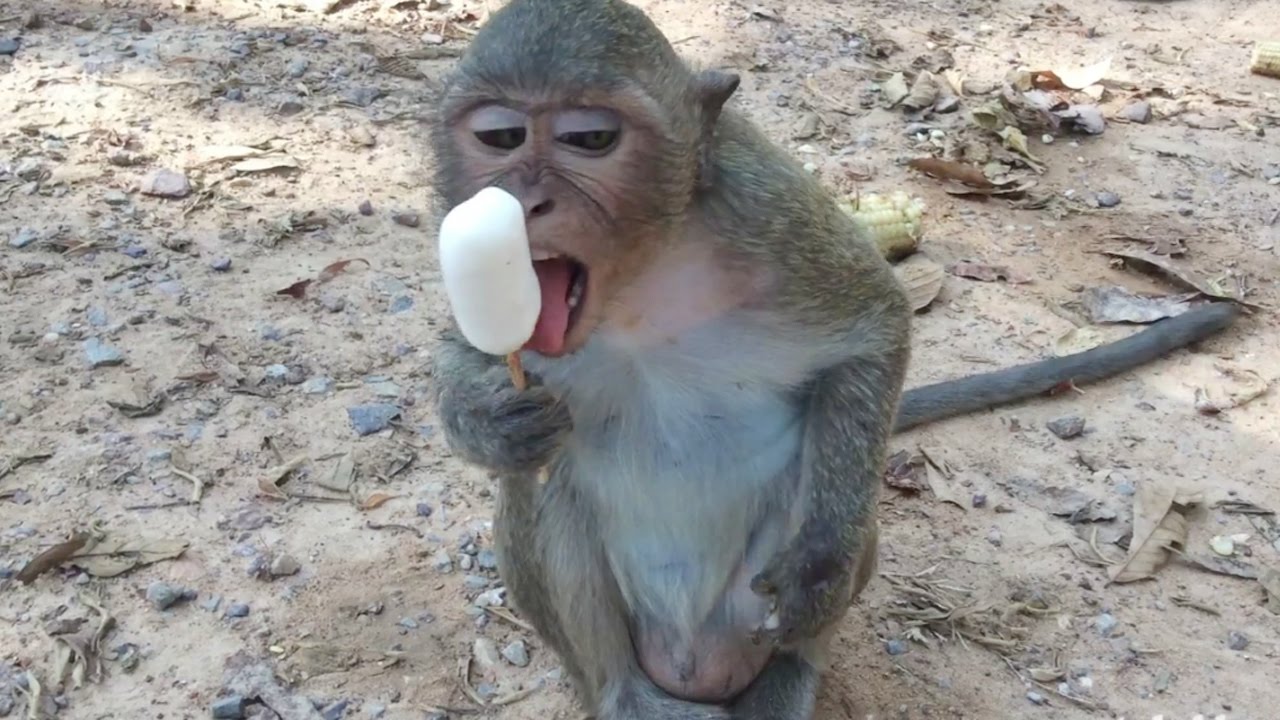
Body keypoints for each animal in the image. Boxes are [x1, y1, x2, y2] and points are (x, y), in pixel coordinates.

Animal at [426, 1, 1242, 718]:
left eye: (589, 138)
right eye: (501, 136)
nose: (525, 200)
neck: (639, 277)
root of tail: (694, 666)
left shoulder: (770, 213)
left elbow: (876, 329)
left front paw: (818, 566)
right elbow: (472, 359)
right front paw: (491, 420)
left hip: (748, 612)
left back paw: (789, 672)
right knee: (543, 488)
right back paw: (627, 696)